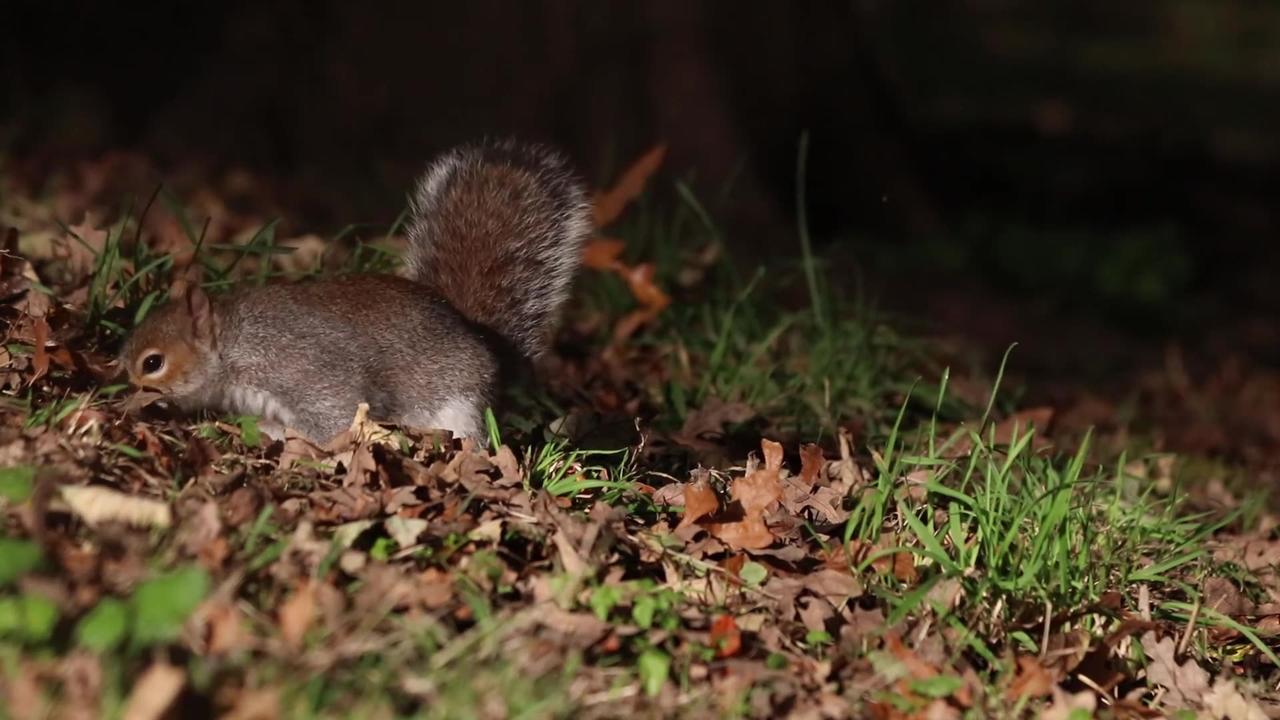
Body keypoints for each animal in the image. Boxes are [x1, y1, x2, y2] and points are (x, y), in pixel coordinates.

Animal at [120, 140, 591, 442]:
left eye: (153, 363)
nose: (125, 402)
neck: (233, 343)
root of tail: (481, 339)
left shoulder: (296, 368)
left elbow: (335, 413)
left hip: (458, 405)